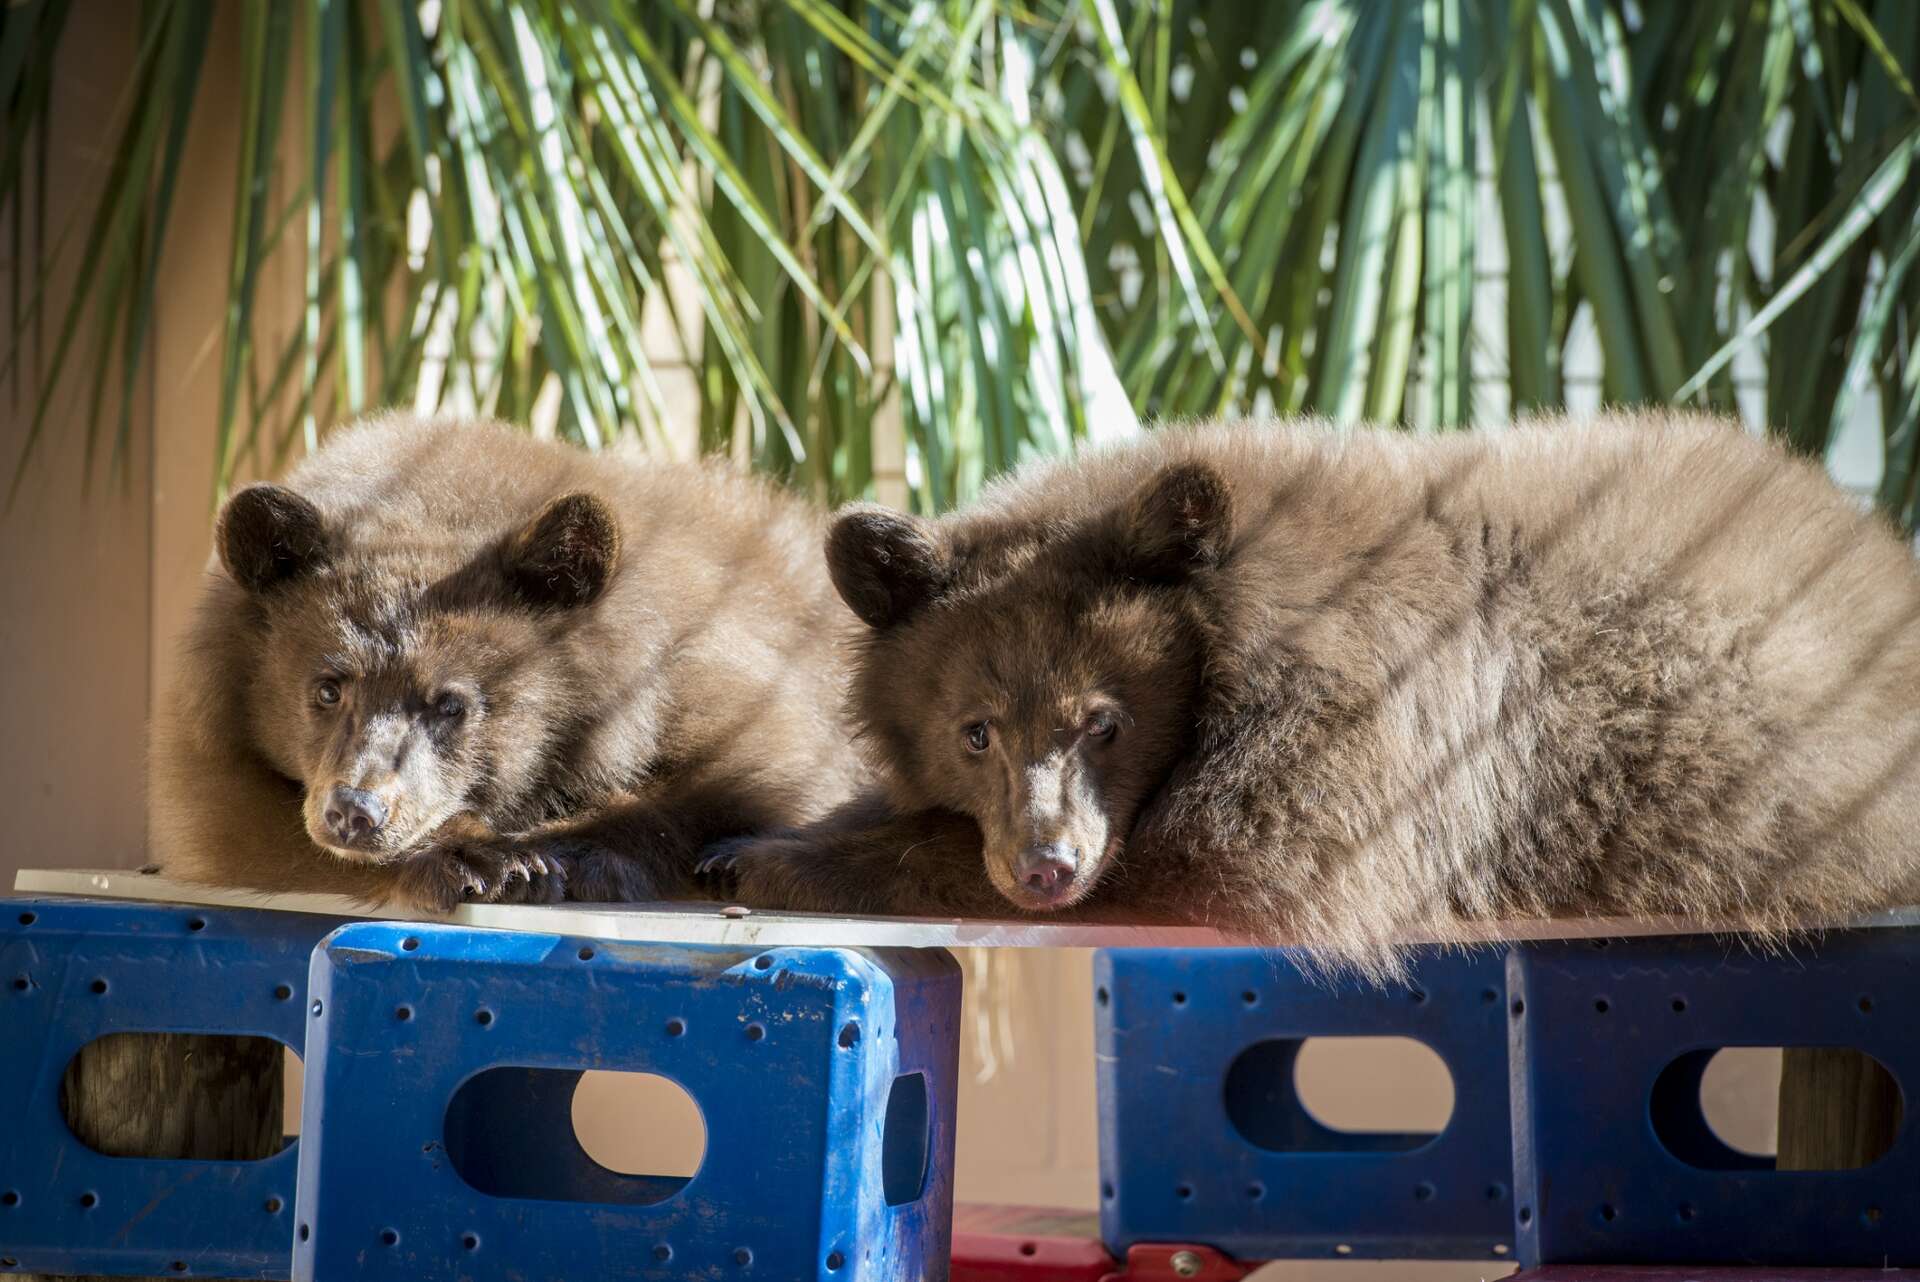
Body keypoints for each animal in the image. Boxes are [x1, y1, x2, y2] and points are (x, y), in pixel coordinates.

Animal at [152, 412, 864, 914]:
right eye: (329, 688)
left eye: (451, 704)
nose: (355, 813)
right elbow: (230, 822)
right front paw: (473, 860)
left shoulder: (703, 661)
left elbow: (768, 779)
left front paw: (557, 854)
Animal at [704, 413, 1920, 973]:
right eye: (974, 733)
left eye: (1106, 721)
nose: (1046, 867)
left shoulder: (1381, 723)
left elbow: (1247, 854)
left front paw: (775, 857)